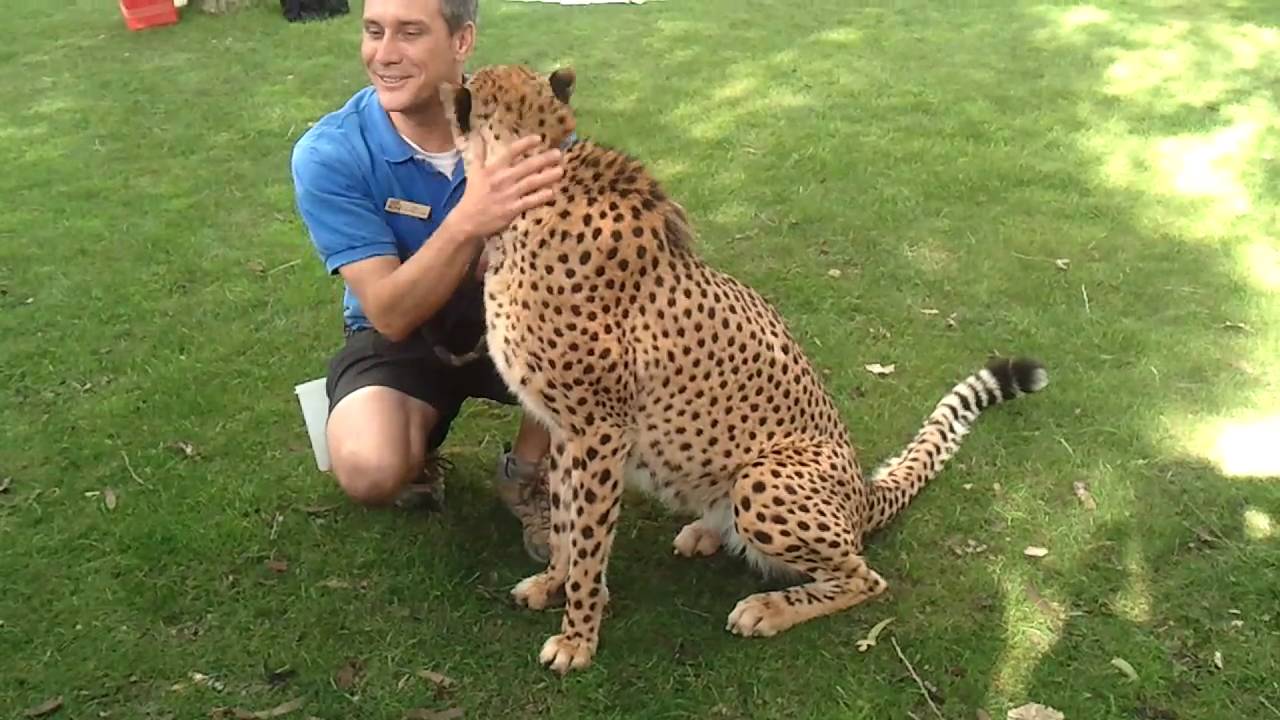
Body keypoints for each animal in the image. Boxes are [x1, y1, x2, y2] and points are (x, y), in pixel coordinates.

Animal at [438, 64, 1050, 675]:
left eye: (476, 81)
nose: (455, 78)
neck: (533, 185)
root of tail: (861, 492)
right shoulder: (569, 431)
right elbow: (568, 523)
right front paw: (552, 584)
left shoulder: (599, 431)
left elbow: (589, 540)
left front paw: (577, 638)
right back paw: (707, 533)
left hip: (763, 478)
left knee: (864, 577)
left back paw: (767, 609)